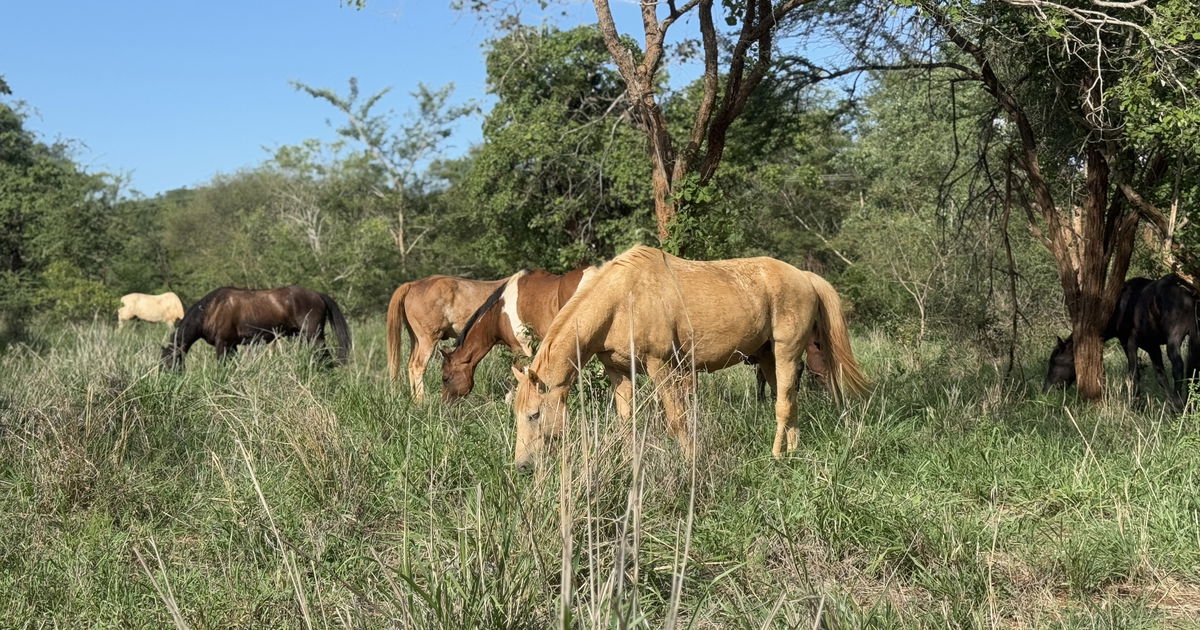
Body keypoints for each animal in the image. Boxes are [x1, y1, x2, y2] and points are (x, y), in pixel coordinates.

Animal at [161, 286, 351, 370]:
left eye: (167, 361)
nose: (167, 381)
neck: (211, 309)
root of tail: (318, 295)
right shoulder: (232, 346)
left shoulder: (222, 344)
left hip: (314, 336)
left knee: (326, 358)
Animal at [510, 246, 868, 469]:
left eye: (534, 414)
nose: (522, 465)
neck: (621, 299)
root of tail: (805, 276)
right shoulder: (619, 371)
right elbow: (627, 422)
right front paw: (627, 463)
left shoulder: (662, 366)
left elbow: (677, 419)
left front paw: (689, 461)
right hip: (767, 356)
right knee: (790, 401)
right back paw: (792, 451)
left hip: (786, 351)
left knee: (782, 404)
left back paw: (777, 456)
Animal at [1044, 274, 1200, 405]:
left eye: (1054, 362)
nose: (1046, 389)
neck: (1120, 306)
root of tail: (1187, 291)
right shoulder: (1152, 346)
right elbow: (1160, 376)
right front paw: (1169, 403)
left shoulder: (1128, 342)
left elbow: (1134, 374)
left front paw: (1136, 405)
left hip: (1174, 339)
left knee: (1178, 366)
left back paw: (1180, 402)